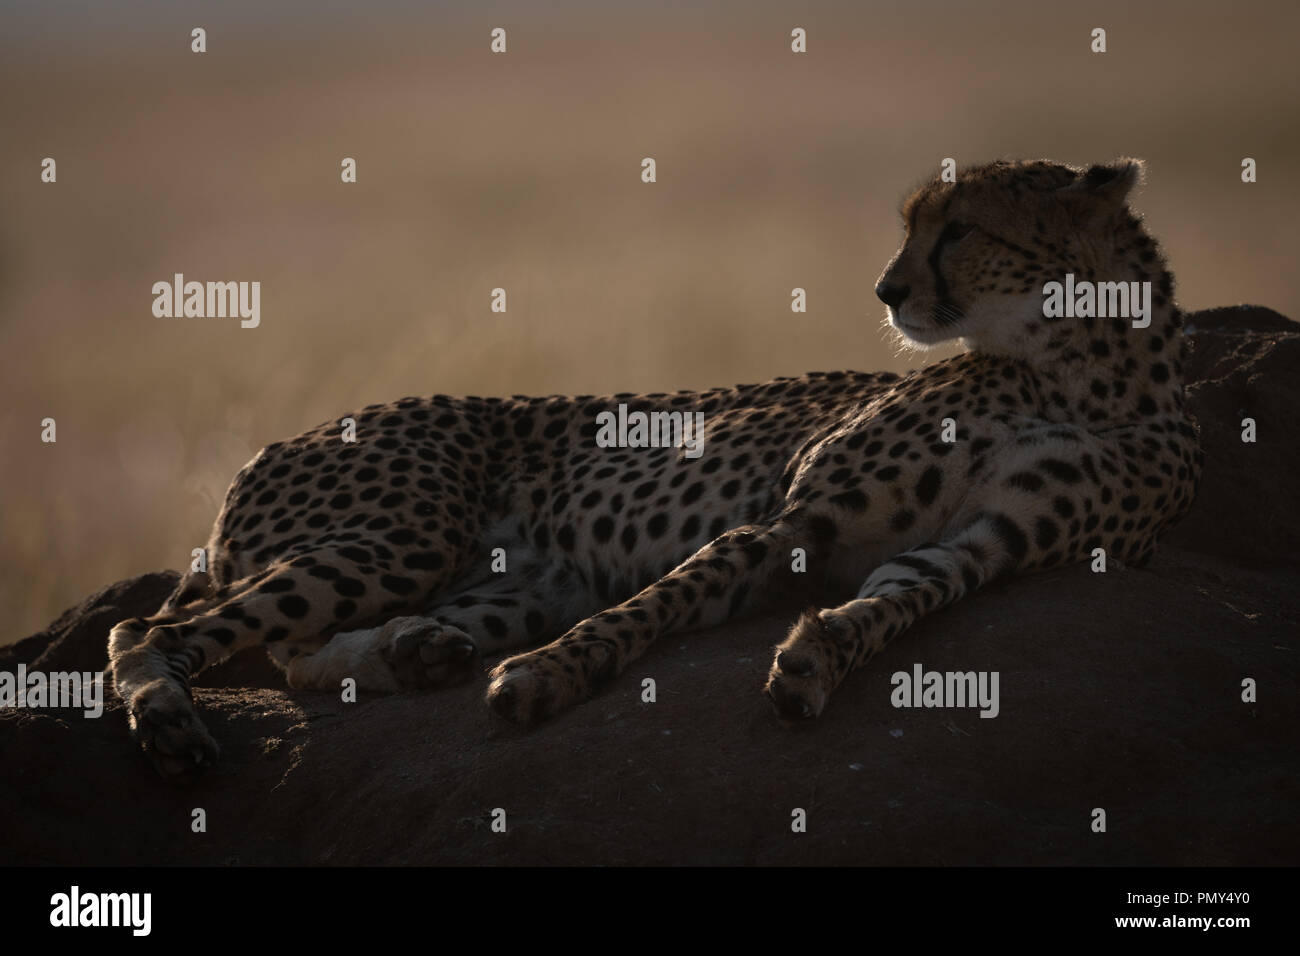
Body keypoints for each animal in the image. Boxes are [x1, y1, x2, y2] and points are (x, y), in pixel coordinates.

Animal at [108, 157, 1201, 779]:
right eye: (915, 223)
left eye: (960, 227)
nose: (886, 289)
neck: (1075, 364)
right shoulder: (798, 518)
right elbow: (660, 600)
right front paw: (550, 677)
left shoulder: (988, 543)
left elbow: (895, 600)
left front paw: (815, 658)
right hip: (405, 531)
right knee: (155, 629)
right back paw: (167, 720)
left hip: (510, 582)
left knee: (293, 648)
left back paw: (416, 654)